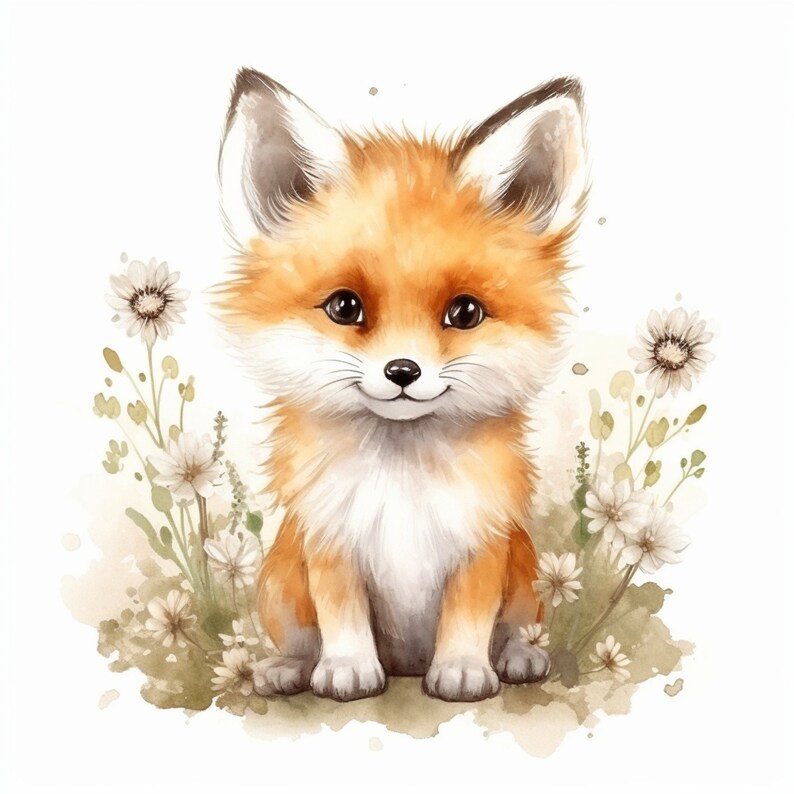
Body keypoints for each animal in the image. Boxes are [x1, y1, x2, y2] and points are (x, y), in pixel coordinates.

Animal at [216, 68, 588, 703]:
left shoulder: (483, 540)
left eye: (465, 312)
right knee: (299, 639)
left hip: (526, 577)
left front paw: (462, 669)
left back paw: (518, 657)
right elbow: (341, 616)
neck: (401, 477)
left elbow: (468, 616)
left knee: (517, 627)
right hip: (279, 583)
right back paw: (288, 668)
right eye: (345, 307)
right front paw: (347, 669)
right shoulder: (329, 541)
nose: (402, 372)